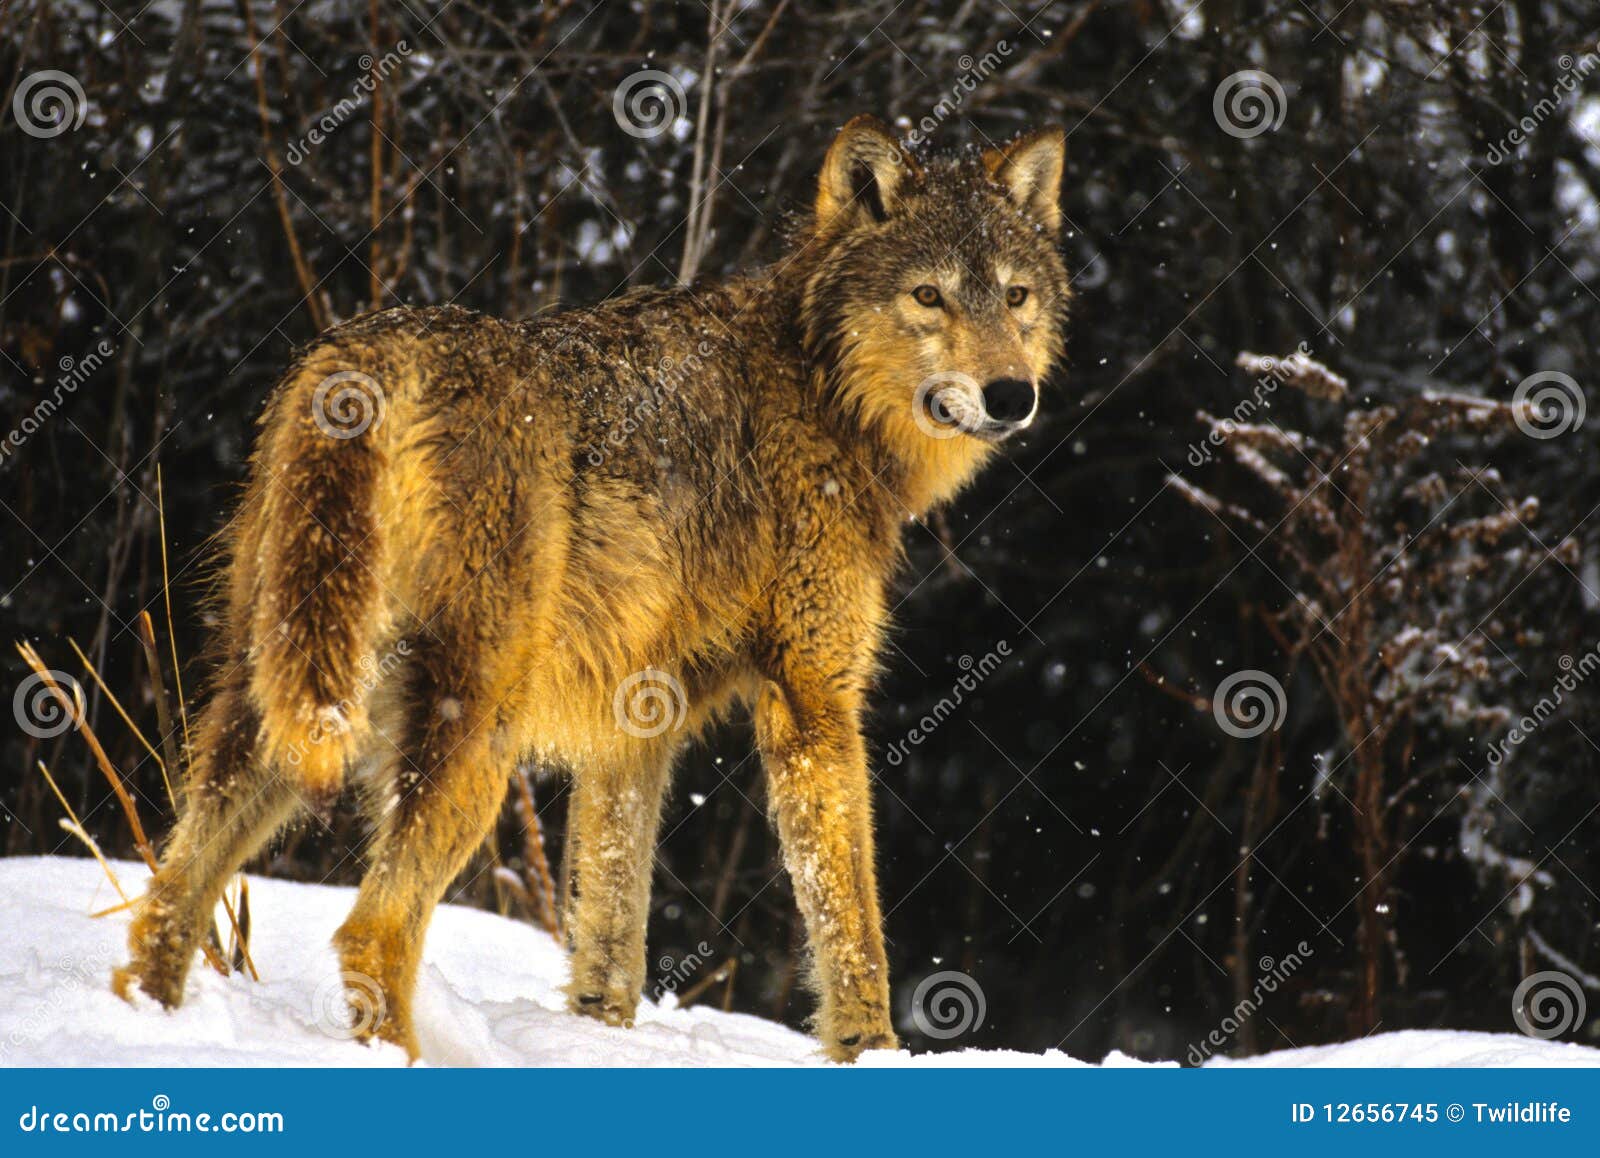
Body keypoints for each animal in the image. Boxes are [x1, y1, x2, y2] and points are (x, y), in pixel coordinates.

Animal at [113, 116, 1070, 1061]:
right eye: (929, 296)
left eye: (1016, 296)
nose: (1011, 395)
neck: (820, 388)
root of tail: (366, 355)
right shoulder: (813, 698)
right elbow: (849, 915)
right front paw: (870, 1048)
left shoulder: (637, 721)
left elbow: (612, 926)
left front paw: (596, 1036)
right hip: (473, 738)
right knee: (371, 934)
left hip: (287, 707)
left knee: (167, 904)